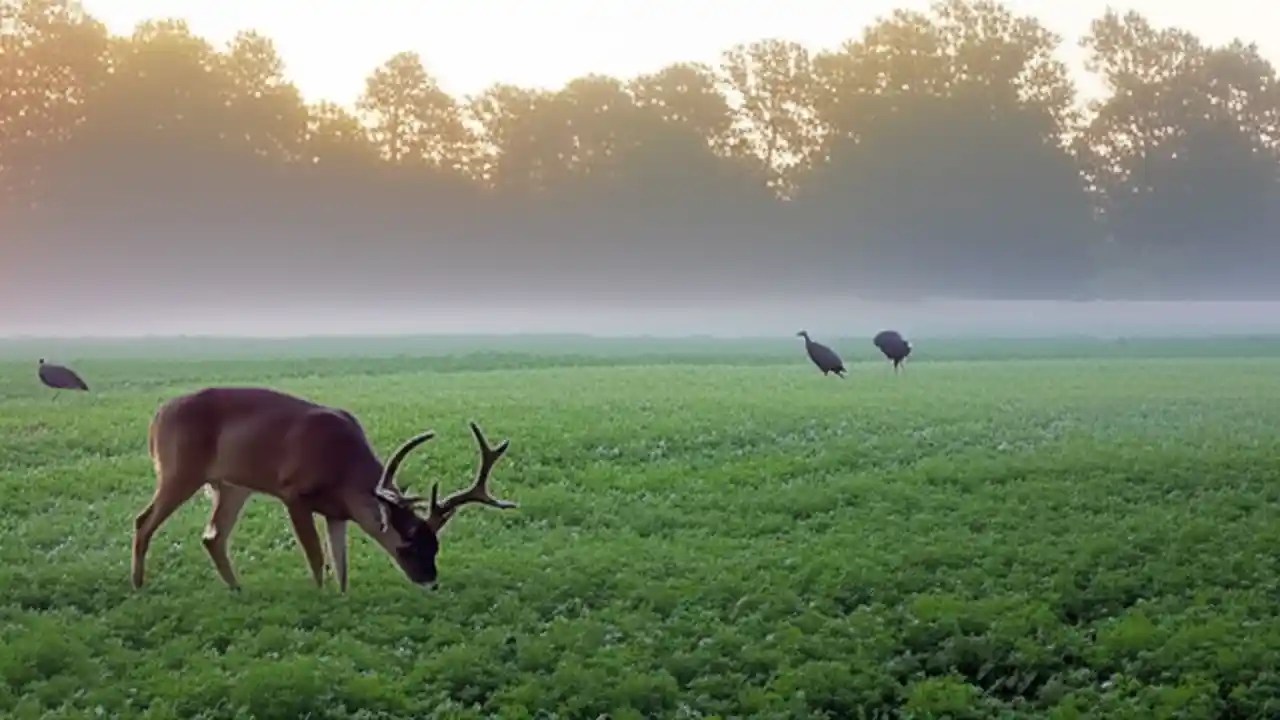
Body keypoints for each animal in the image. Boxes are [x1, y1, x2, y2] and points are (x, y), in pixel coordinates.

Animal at [130, 386, 518, 594]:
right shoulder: (293, 494)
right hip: (179, 472)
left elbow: (341, 566)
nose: (430, 582)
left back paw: (237, 589)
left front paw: (340, 598)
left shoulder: (338, 513)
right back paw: (137, 584)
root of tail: (157, 417)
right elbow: (317, 558)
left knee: (213, 536)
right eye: (407, 546)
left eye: (435, 545)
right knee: (143, 521)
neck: (343, 466)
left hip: (232, 486)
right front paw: (320, 596)